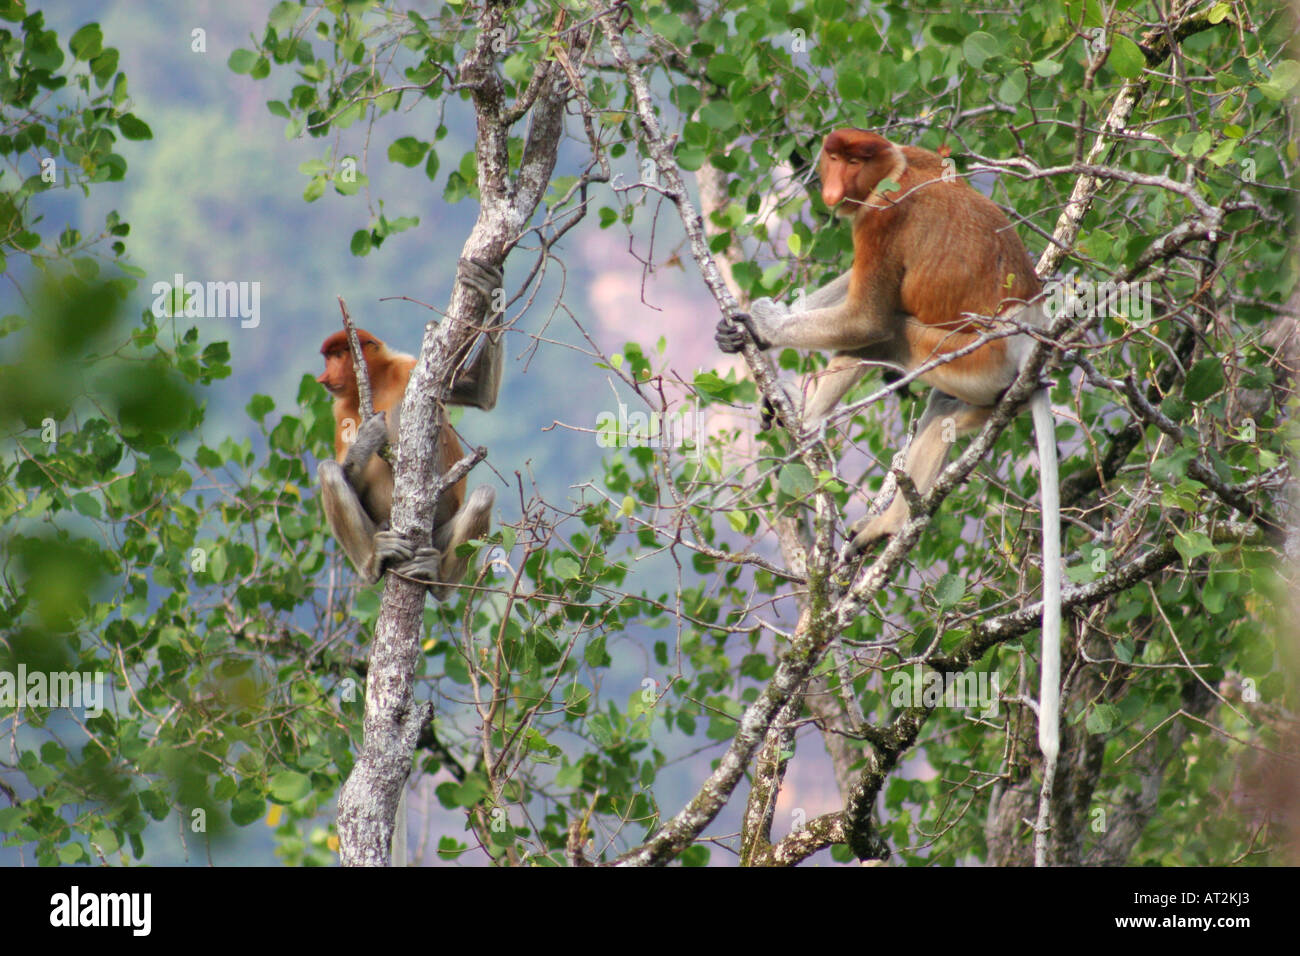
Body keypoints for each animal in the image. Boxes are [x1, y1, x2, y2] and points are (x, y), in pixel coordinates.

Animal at [316, 257, 503, 600]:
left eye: (337, 356)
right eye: (328, 358)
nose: (323, 378)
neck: (376, 383)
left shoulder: (410, 367)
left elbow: (477, 393)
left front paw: (489, 288)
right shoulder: (340, 410)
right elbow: (347, 475)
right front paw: (369, 435)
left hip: (438, 537)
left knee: (484, 495)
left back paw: (438, 579)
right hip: (383, 528)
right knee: (329, 472)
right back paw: (374, 560)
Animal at [715, 128, 1063, 774]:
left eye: (854, 161)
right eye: (833, 157)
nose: (832, 186)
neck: (896, 165)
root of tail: (1029, 342)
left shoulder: (881, 216)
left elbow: (866, 314)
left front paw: (765, 326)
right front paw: (753, 322)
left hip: (964, 359)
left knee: (888, 329)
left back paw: (814, 430)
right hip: (977, 387)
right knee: (942, 416)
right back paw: (884, 507)